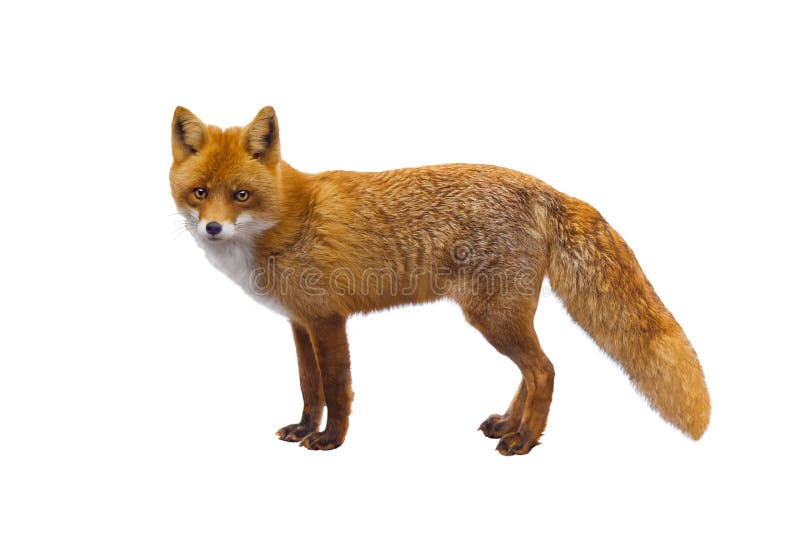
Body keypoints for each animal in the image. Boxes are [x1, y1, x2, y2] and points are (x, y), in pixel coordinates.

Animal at [169, 106, 710, 455]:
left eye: (241, 195)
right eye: (200, 193)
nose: (213, 228)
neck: (284, 218)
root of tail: (543, 186)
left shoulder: (327, 319)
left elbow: (338, 389)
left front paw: (330, 441)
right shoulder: (300, 323)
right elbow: (309, 387)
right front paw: (304, 429)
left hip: (493, 317)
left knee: (545, 371)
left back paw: (525, 440)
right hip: (504, 318)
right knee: (533, 371)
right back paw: (509, 425)